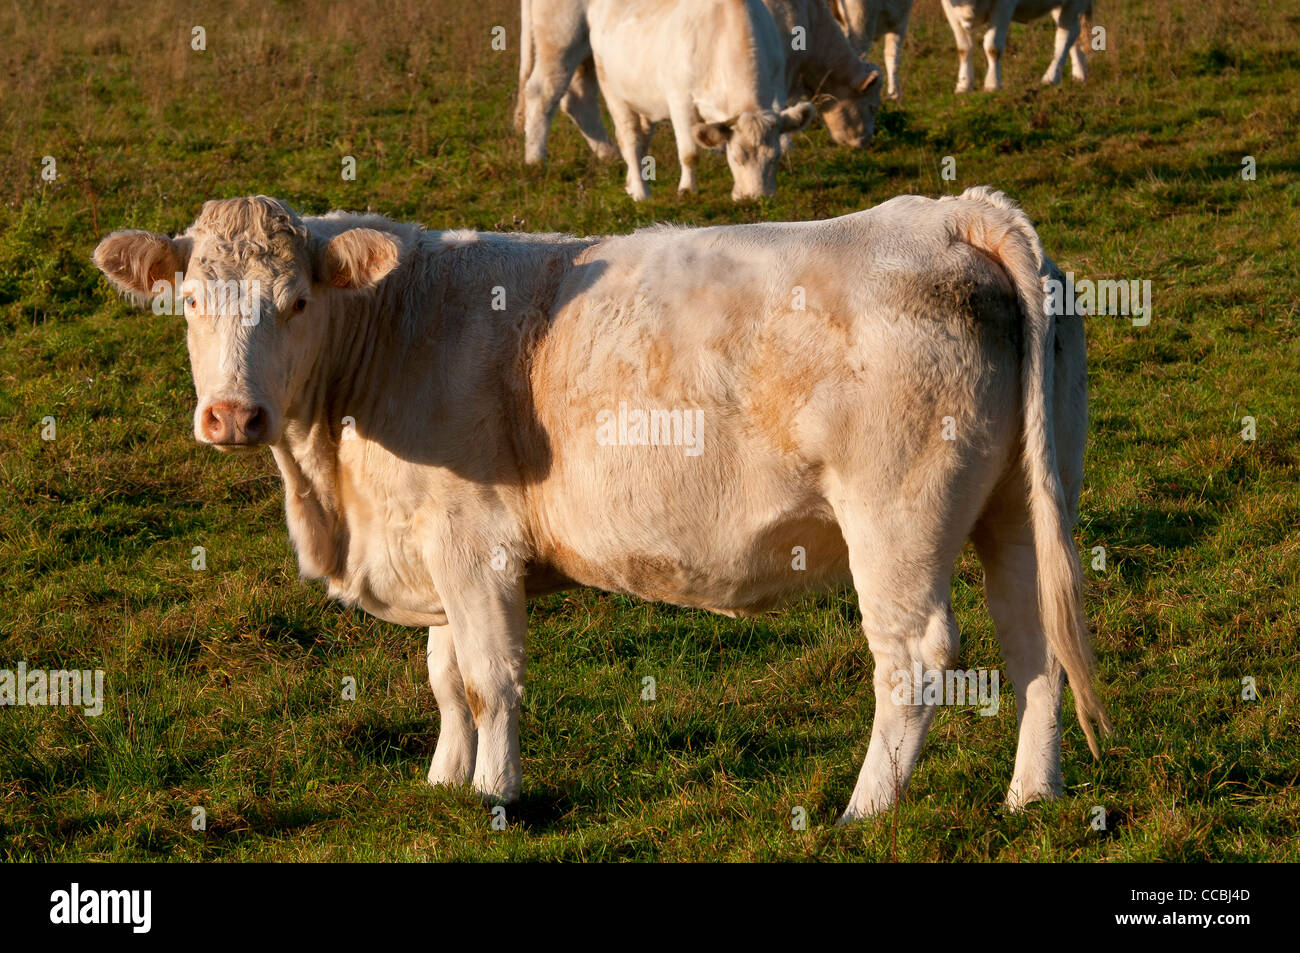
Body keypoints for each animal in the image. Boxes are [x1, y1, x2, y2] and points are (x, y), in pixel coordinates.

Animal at [92, 187, 1110, 823]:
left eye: (297, 300)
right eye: (190, 299)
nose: (233, 414)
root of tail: (950, 214)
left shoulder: (473, 542)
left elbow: (487, 677)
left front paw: (494, 794)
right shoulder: (431, 542)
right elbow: (441, 675)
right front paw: (442, 780)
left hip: (894, 519)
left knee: (914, 660)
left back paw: (865, 808)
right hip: (1018, 503)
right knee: (1034, 641)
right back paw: (1031, 793)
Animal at [587, 0, 814, 201]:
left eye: (775, 158)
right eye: (736, 158)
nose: (757, 197)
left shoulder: (778, 90)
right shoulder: (680, 101)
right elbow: (689, 152)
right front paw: (687, 189)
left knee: (642, 137)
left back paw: (632, 184)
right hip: (611, 88)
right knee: (630, 138)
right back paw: (641, 193)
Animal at [940, 0, 1094, 93]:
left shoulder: (1003, 5)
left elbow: (993, 47)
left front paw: (992, 84)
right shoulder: (949, 7)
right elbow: (964, 48)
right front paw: (963, 85)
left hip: (1075, 3)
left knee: (1066, 35)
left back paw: (1051, 77)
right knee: (1074, 35)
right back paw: (1079, 74)